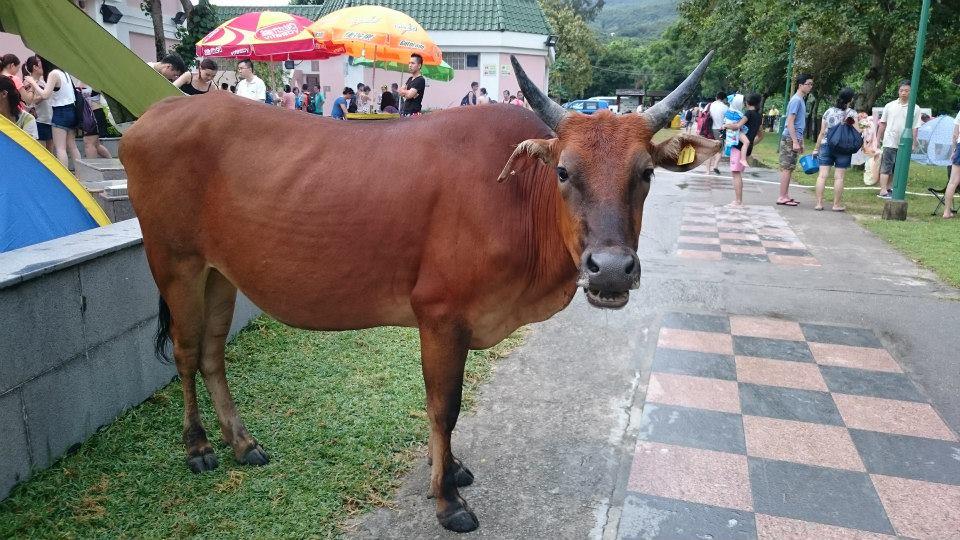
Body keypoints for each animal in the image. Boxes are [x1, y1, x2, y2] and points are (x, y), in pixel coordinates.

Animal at [119, 52, 719, 533]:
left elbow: (445, 410)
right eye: (565, 172)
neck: (515, 196)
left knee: (213, 353)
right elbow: (443, 408)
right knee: (186, 352)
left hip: (220, 273)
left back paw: (242, 443)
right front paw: (447, 498)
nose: (611, 270)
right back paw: (198, 447)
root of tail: (151, 117)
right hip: (174, 263)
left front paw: (450, 469)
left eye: (646, 173)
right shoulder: (440, 316)